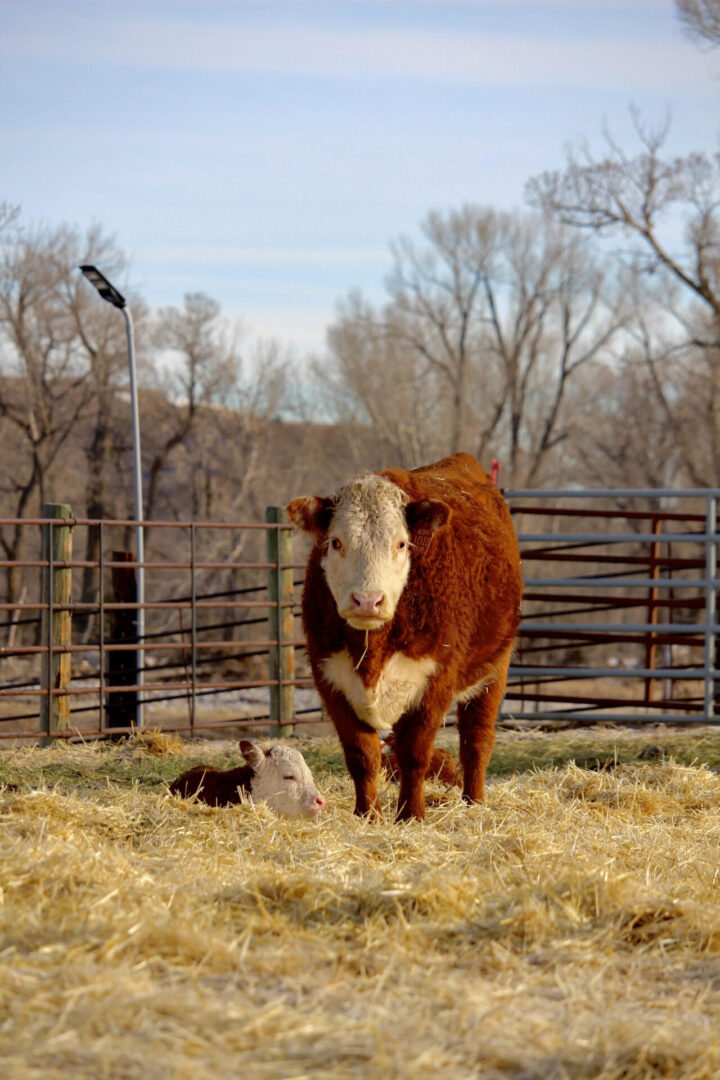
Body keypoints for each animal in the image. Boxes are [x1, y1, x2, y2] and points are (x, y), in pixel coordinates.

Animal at [287, 452, 522, 822]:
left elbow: (415, 752)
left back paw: (473, 803)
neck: (372, 650)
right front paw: (368, 815)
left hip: (494, 667)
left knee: (476, 739)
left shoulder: (436, 679)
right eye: (336, 542)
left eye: (400, 543)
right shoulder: (331, 679)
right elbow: (362, 754)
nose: (367, 600)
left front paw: (411, 815)